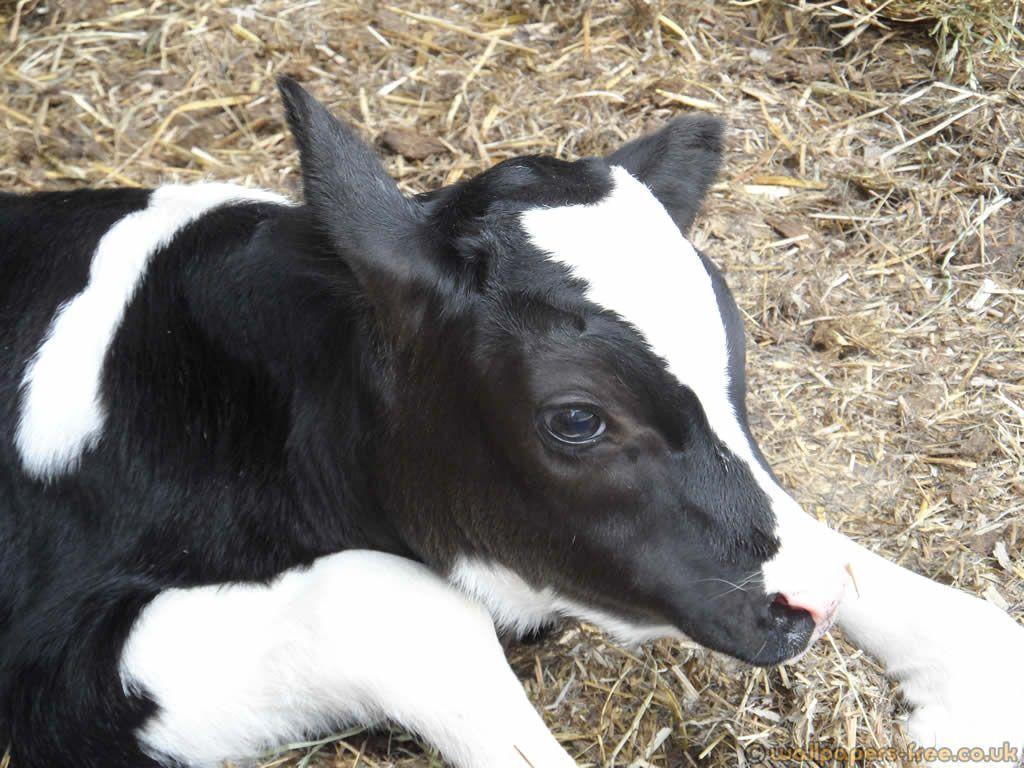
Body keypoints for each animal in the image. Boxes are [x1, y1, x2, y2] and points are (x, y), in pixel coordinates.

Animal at [0, 78, 1021, 768]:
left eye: (738, 360)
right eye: (576, 419)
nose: (807, 604)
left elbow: (862, 557)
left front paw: (966, 680)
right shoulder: (47, 665)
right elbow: (392, 602)